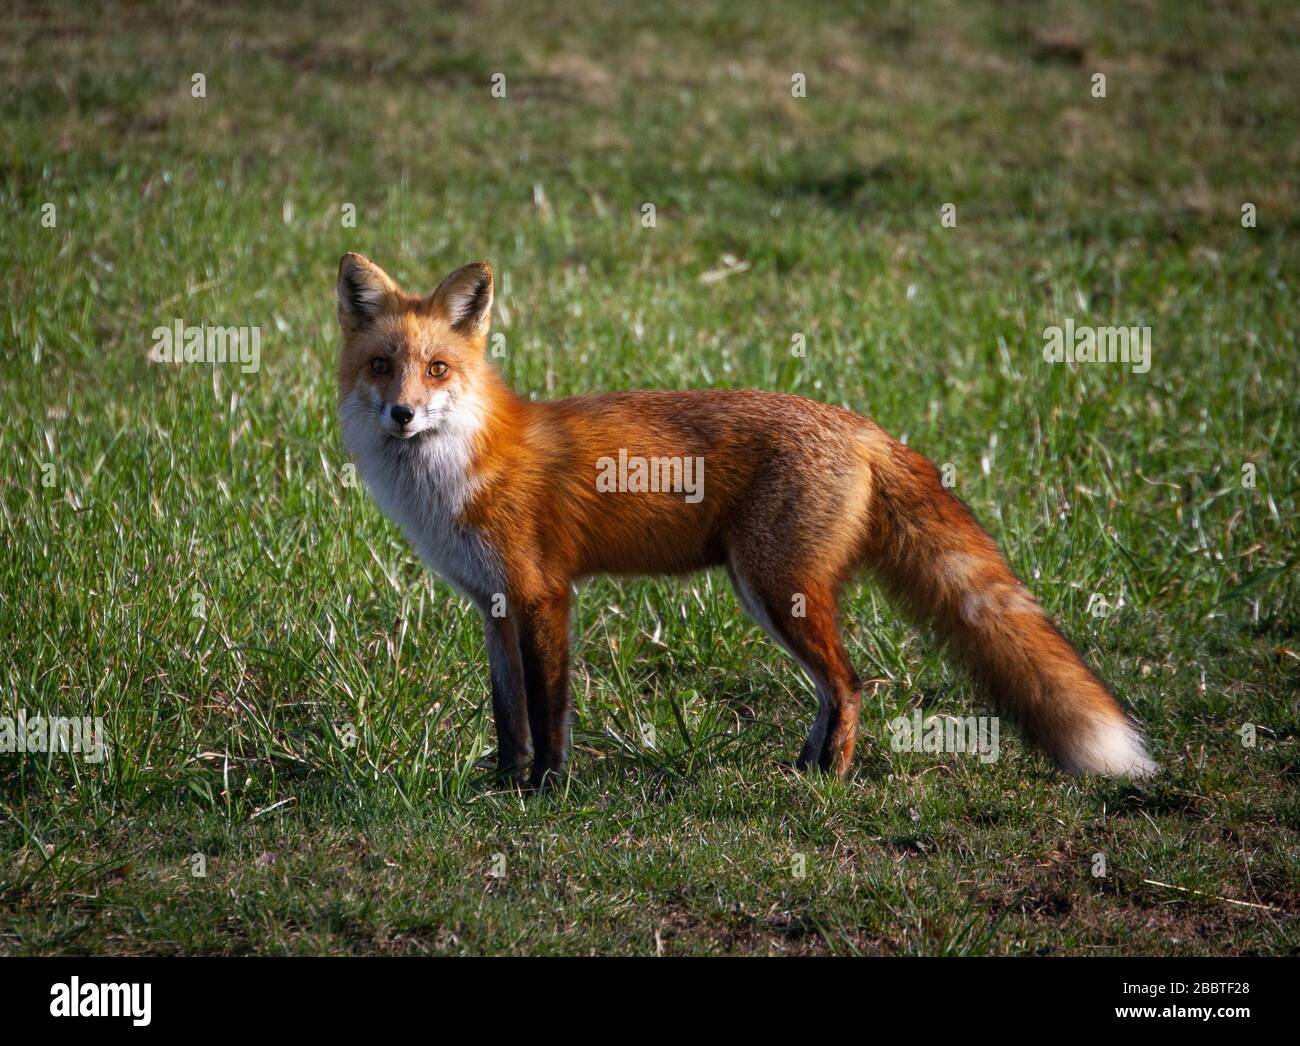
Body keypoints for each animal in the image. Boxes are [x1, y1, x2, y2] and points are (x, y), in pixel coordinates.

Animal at [336, 253, 1157, 791]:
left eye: (437, 369)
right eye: (382, 367)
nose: (402, 412)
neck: (458, 469)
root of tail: (866, 427)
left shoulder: (544, 595)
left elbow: (550, 710)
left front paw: (546, 787)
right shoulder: (494, 605)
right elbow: (508, 712)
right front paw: (503, 783)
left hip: (774, 587)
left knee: (851, 684)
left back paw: (830, 784)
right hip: (769, 591)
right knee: (832, 688)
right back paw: (805, 767)